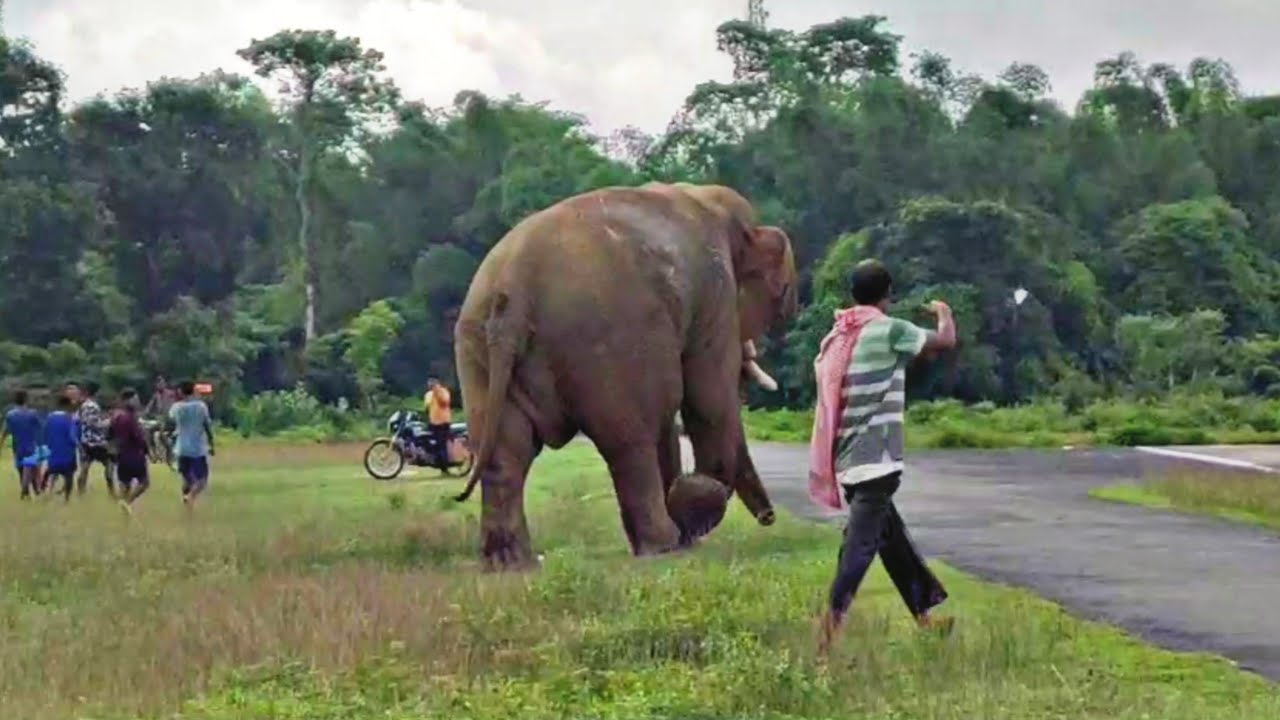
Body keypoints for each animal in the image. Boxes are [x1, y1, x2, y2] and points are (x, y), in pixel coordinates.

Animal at [453, 182, 799, 568]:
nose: (769, 517)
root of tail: (513, 288)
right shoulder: (716, 292)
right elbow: (706, 397)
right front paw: (688, 511)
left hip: (477, 345)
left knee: (505, 450)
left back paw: (511, 564)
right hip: (606, 341)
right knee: (631, 441)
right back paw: (662, 547)